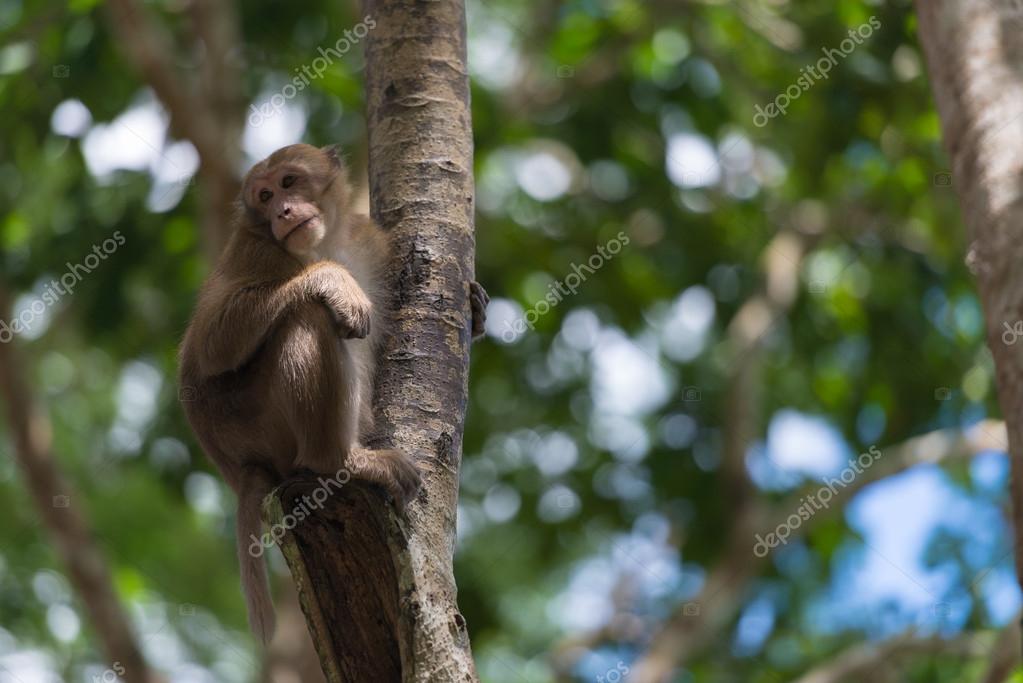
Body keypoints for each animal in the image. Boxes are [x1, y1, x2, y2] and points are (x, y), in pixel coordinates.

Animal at [177, 143, 488, 644]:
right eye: (263, 197)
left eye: (288, 182)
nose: (282, 211)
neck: (322, 245)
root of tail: (240, 467)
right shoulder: (253, 250)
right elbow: (209, 347)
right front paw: (334, 278)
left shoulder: (370, 239)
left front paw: (476, 308)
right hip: (261, 427)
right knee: (307, 314)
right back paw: (340, 461)